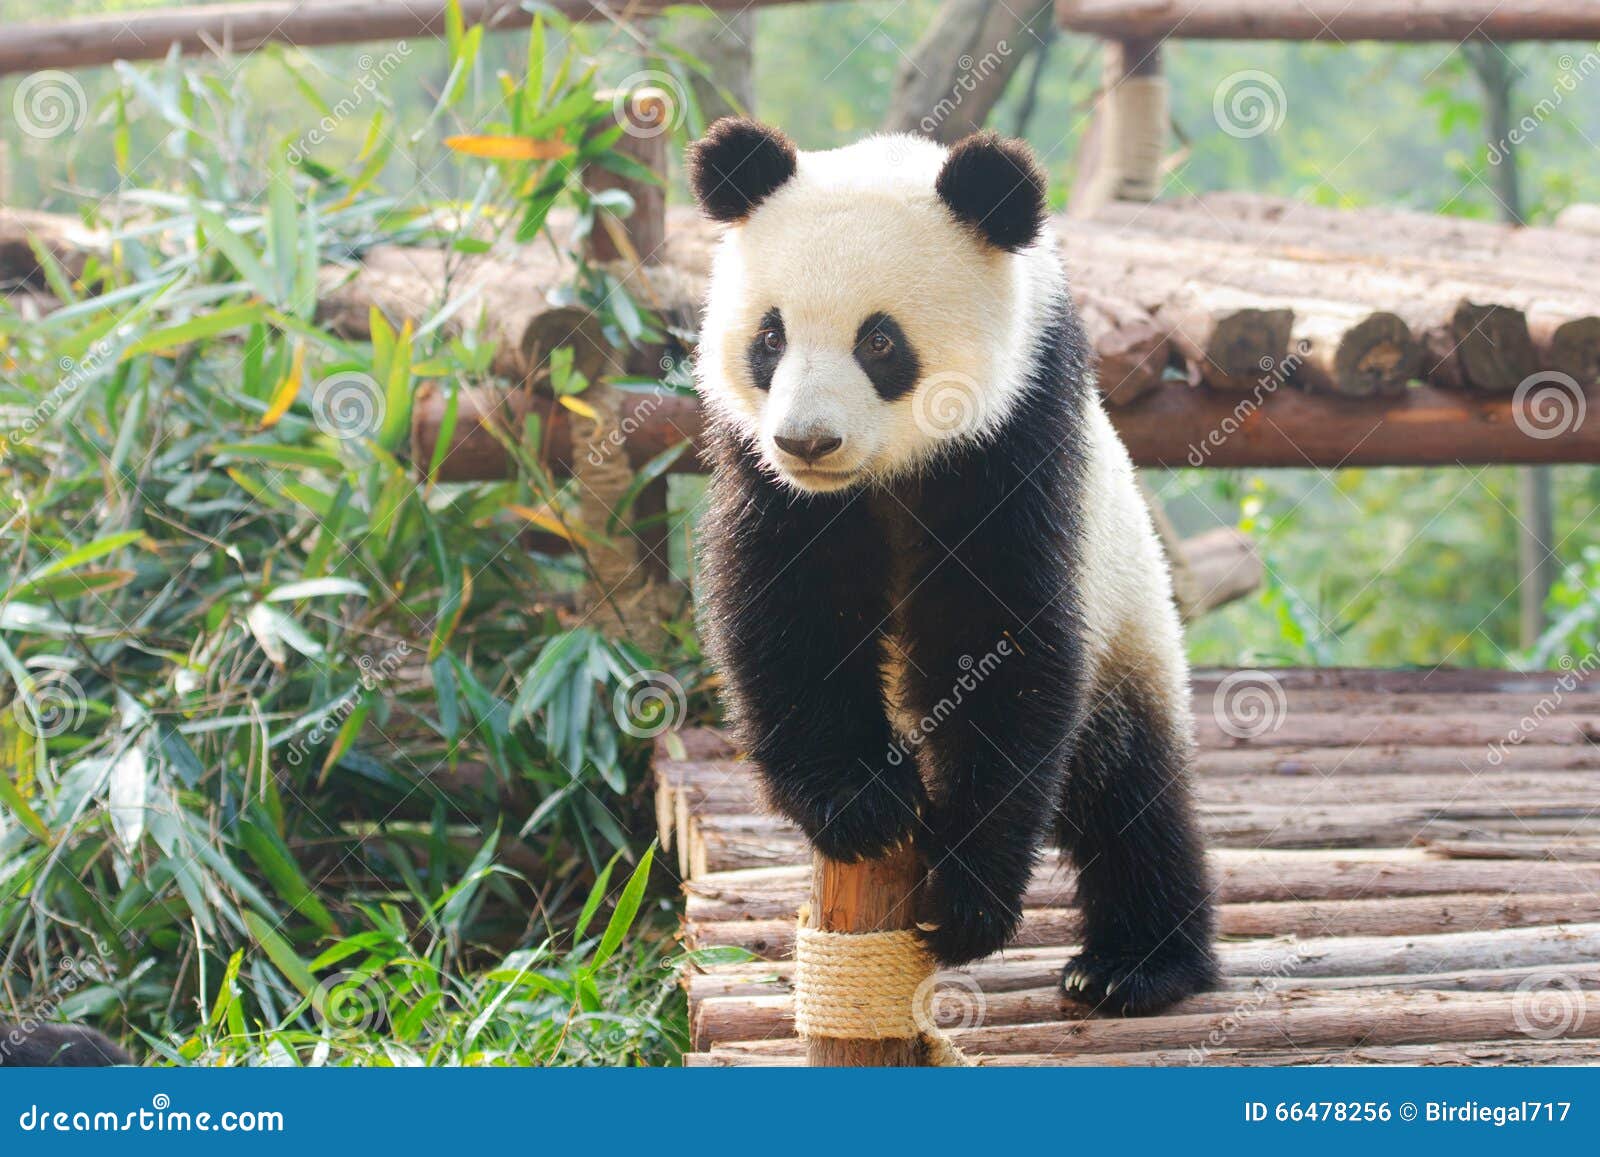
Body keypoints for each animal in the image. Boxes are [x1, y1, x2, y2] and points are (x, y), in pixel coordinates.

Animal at [687, 118, 1216, 1015]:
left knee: (1132, 789)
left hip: (1131, 620)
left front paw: (965, 898)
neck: (886, 471)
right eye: (770, 336)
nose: (807, 441)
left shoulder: (1018, 438)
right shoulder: (766, 476)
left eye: (879, 340)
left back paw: (1138, 963)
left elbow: (1000, 638)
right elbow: (791, 609)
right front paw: (862, 802)